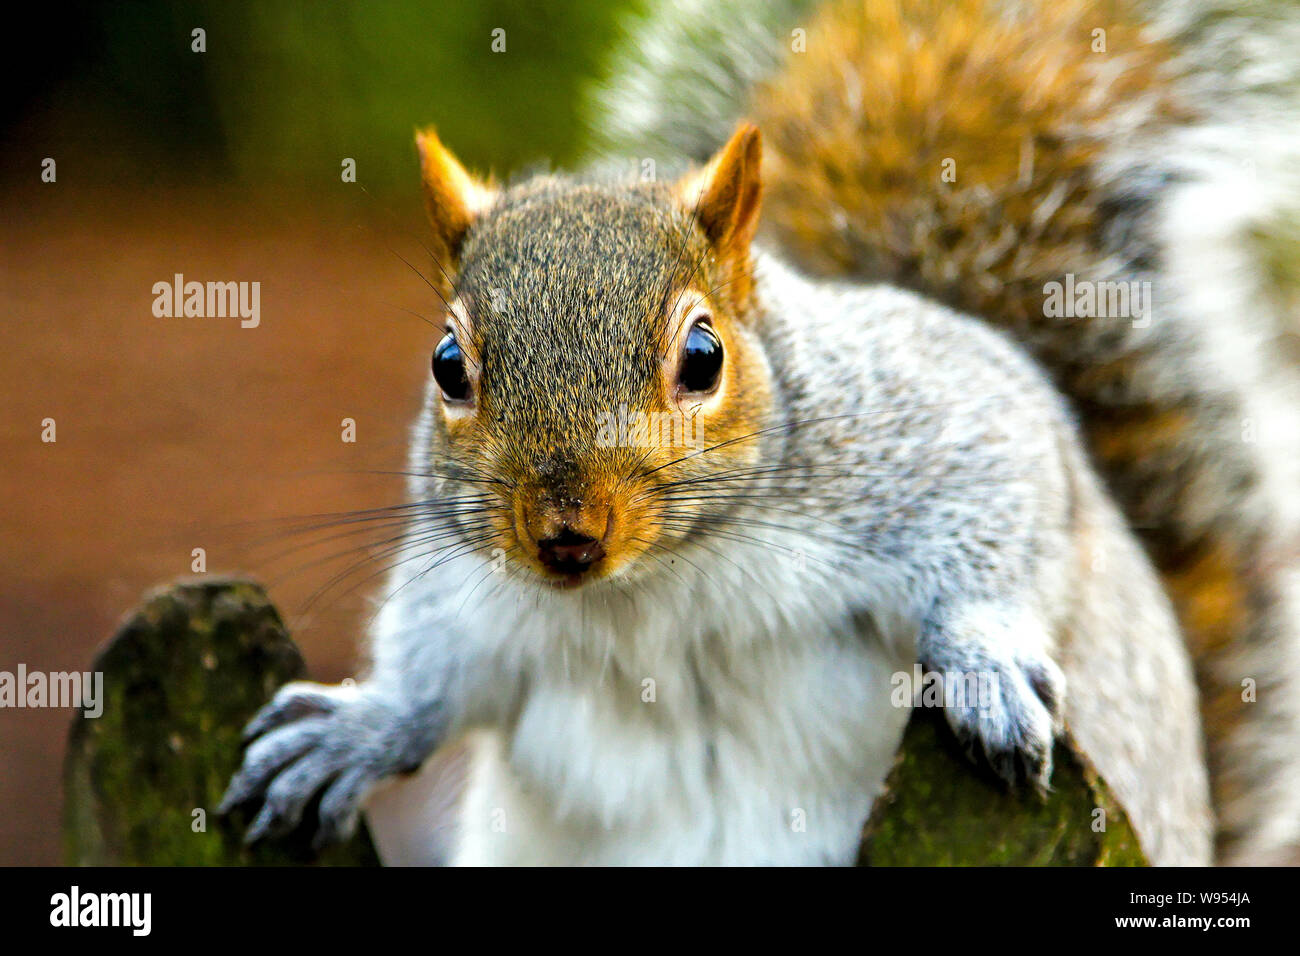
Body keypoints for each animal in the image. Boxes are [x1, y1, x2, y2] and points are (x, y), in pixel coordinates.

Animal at [220, 0, 1300, 865]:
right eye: (449, 366)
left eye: (703, 356)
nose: (566, 534)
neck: (655, 583)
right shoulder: (474, 592)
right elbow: (437, 668)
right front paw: (356, 730)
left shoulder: (944, 422)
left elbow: (998, 512)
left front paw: (985, 663)